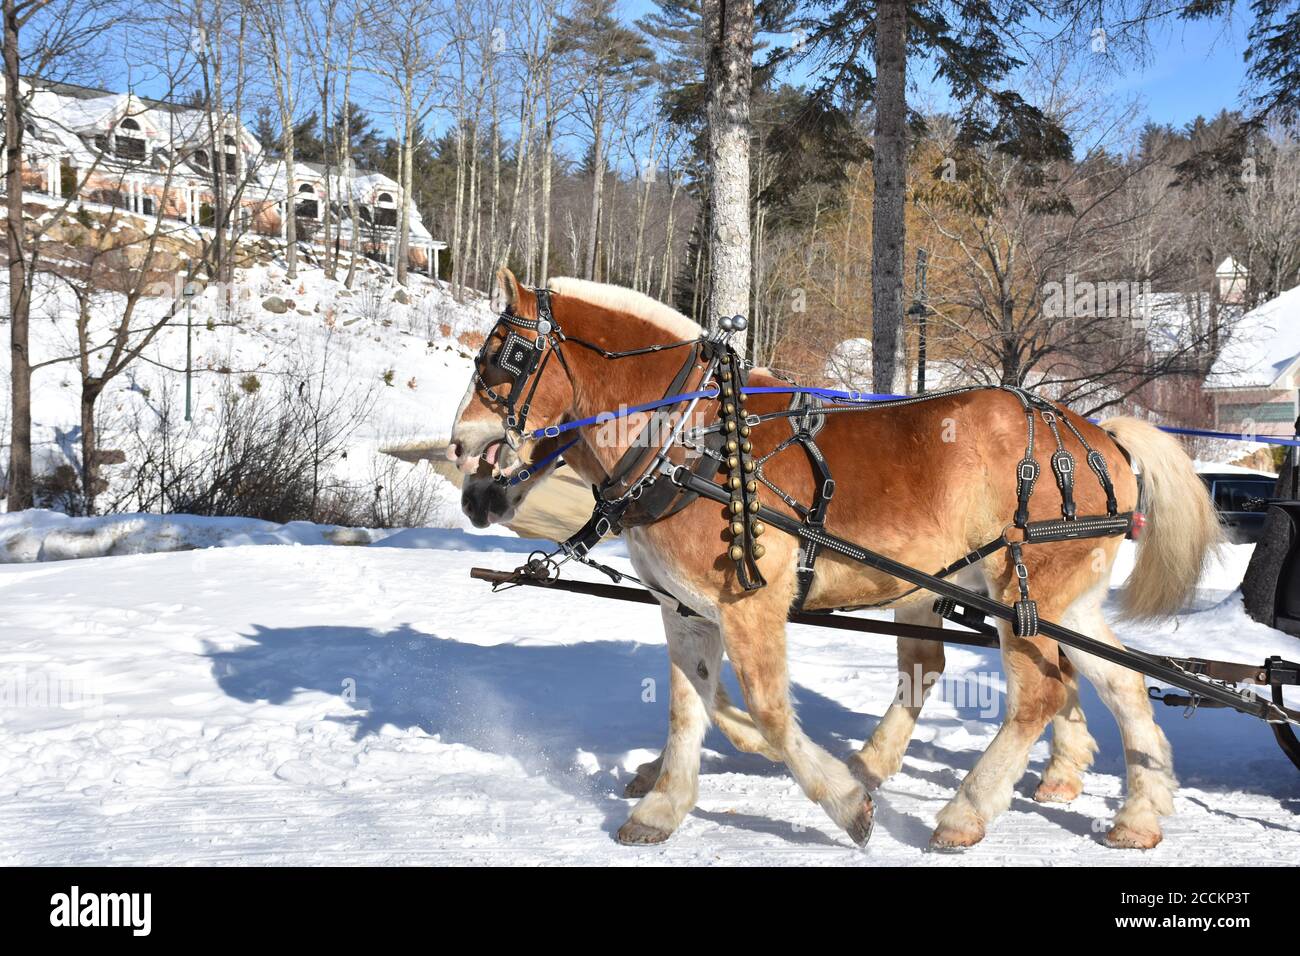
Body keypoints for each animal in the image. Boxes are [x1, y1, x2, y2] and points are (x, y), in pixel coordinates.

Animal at [448, 269, 1221, 849]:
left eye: (507, 357)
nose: (459, 445)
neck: (691, 442)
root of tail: (1100, 435)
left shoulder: (749, 604)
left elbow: (766, 711)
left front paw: (847, 802)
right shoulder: (685, 609)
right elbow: (689, 706)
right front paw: (662, 806)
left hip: (1019, 595)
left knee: (1040, 694)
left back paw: (964, 812)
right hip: (1063, 599)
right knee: (1122, 681)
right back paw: (1139, 813)